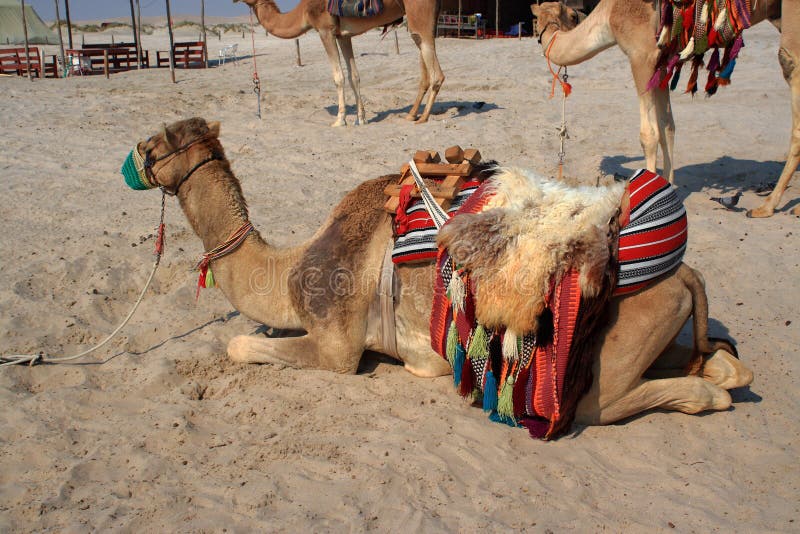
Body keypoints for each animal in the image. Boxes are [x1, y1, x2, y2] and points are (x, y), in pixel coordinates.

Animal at [130, 117, 753, 430]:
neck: (287, 271)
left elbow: (239, 345)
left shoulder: (337, 344)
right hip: (657, 320)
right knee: (716, 361)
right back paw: (721, 377)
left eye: (156, 144)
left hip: (613, 344)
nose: (133, 157)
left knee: (602, 403)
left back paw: (706, 396)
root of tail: (686, 274)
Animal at [235, 0, 444, 126]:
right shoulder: (343, 35)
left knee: (436, 72)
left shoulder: (325, 30)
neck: (303, 11)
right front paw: (361, 118)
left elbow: (339, 77)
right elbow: (354, 76)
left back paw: (423, 117)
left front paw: (339, 120)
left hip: (418, 12)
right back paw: (411, 114)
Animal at [531, 0, 800, 218]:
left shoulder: (642, 54)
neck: (609, 14)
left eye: (572, 15)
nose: (538, 33)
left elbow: (649, 135)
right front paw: (667, 189)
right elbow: (667, 127)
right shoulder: (661, 63)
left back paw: (766, 207)